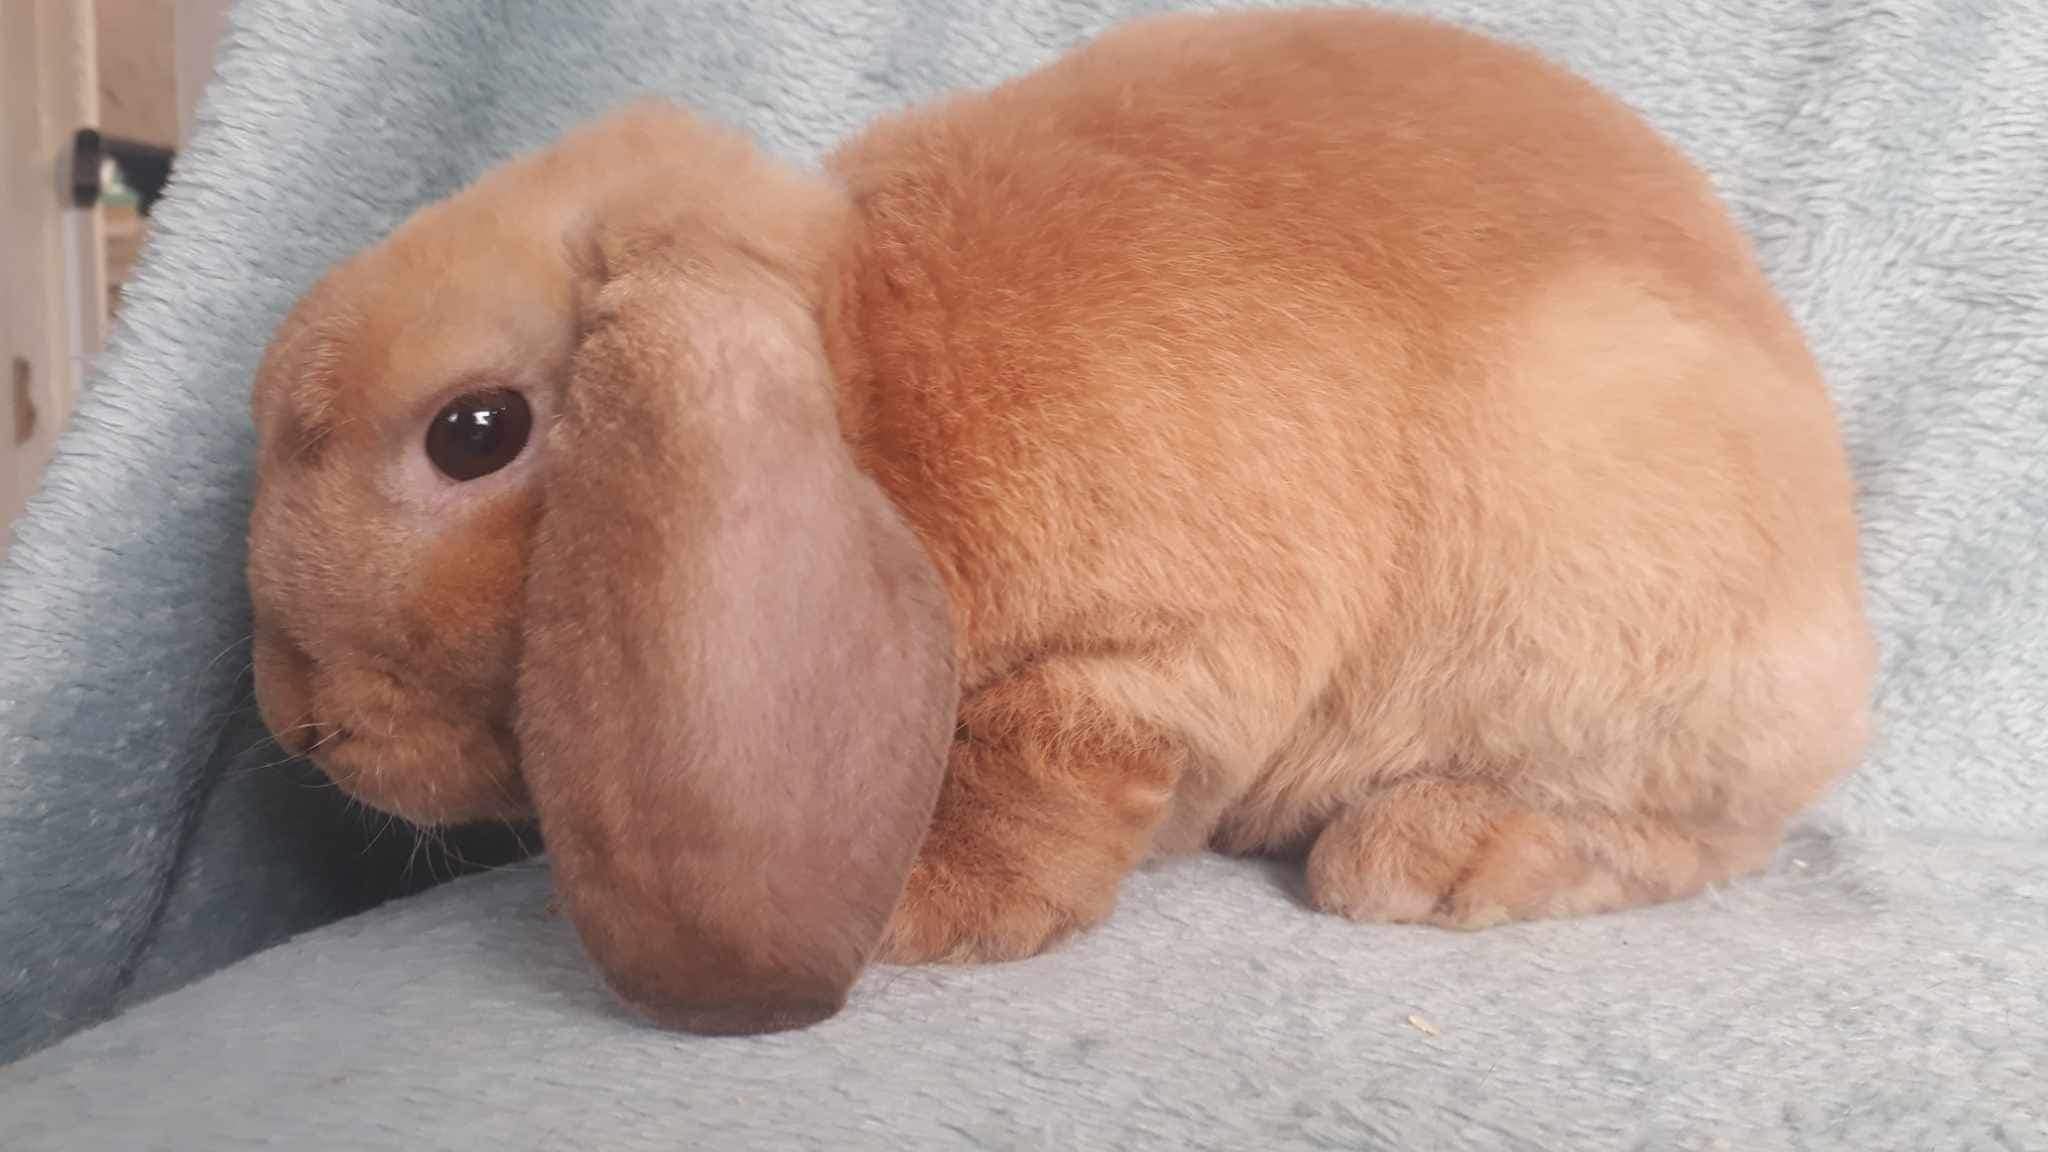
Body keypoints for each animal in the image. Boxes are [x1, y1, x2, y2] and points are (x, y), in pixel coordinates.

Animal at [246, 8, 1874, 1035]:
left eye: (475, 433)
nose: (293, 725)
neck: (865, 386)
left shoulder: (1143, 657)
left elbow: (1033, 777)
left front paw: (925, 911)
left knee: (1700, 836)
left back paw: (1430, 856)